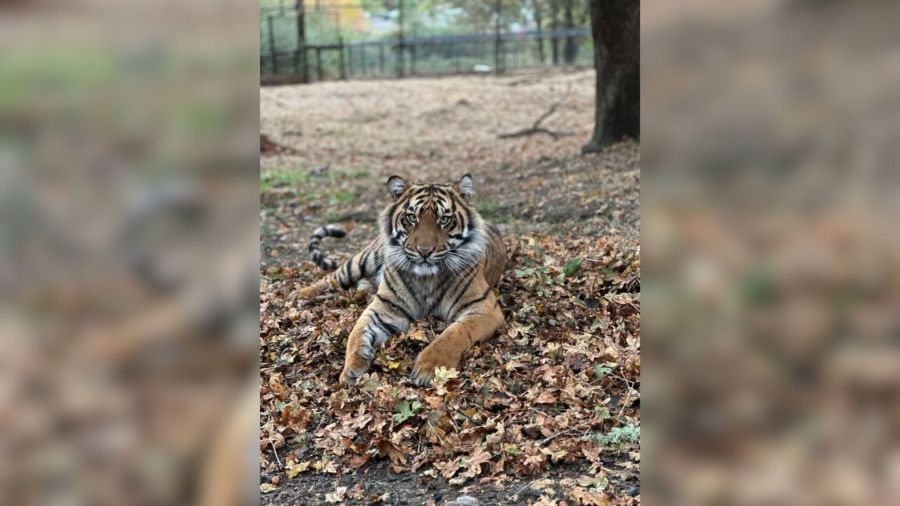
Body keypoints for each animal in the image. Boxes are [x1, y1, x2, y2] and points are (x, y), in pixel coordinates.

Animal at [298, 174, 506, 386]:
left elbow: (453, 334)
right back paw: (301, 294)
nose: (424, 251)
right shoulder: (385, 307)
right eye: (412, 218)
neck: (426, 279)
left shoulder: (484, 308)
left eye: (444, 220)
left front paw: (429, 368)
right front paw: (351, 367)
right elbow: (356, 333)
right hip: (366, 257)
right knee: (333, 276)